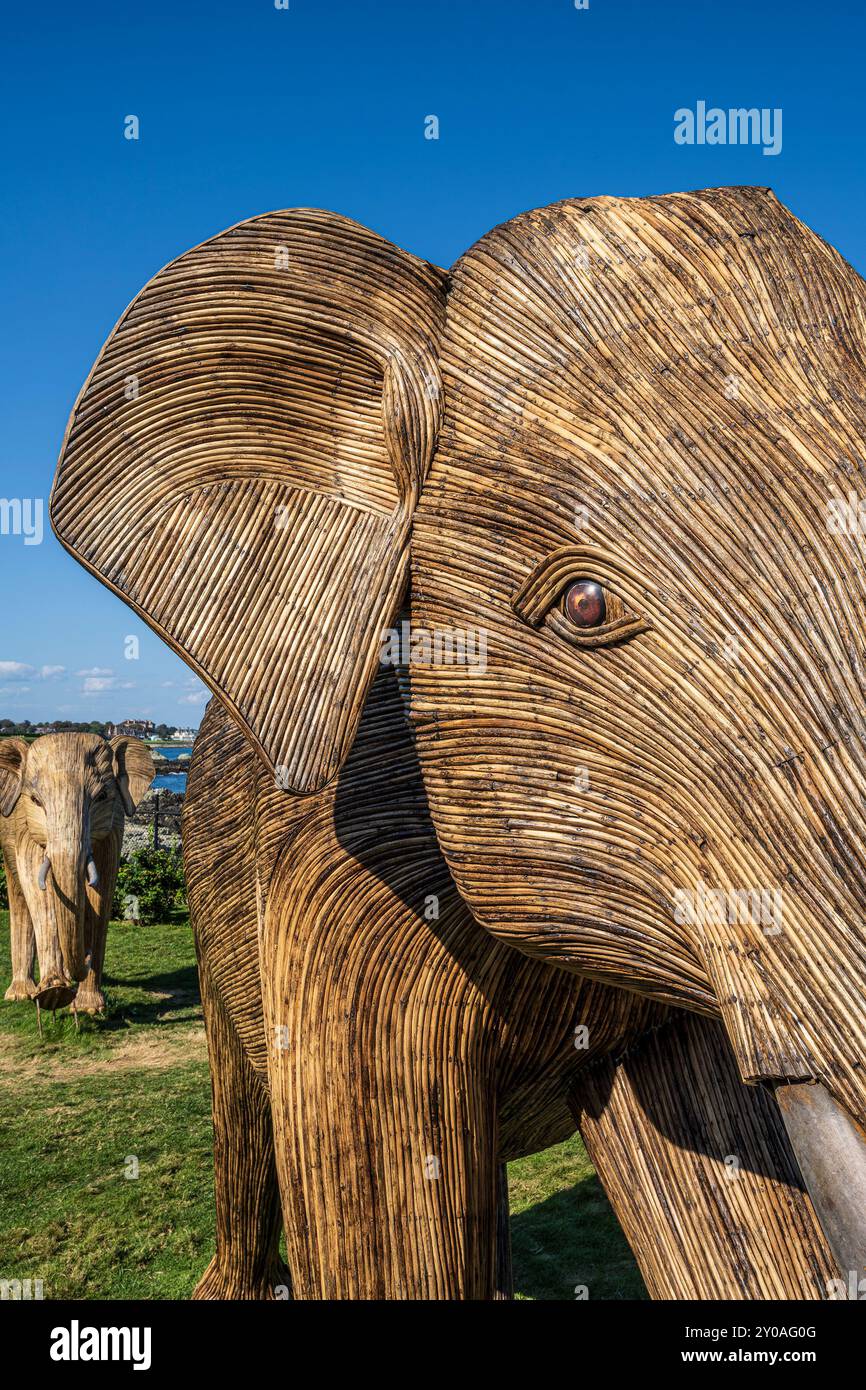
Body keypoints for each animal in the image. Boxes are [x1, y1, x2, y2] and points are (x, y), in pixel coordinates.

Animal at [0, 733, 154, 1014]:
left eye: (102, 796)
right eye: (35, 801)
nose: (86, 956)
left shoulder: (113, 825)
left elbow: (100, 895)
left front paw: (88, 1008)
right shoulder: (23, 827)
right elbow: (39, 890)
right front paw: (53, 993)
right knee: (20, 897)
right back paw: (21, 994)